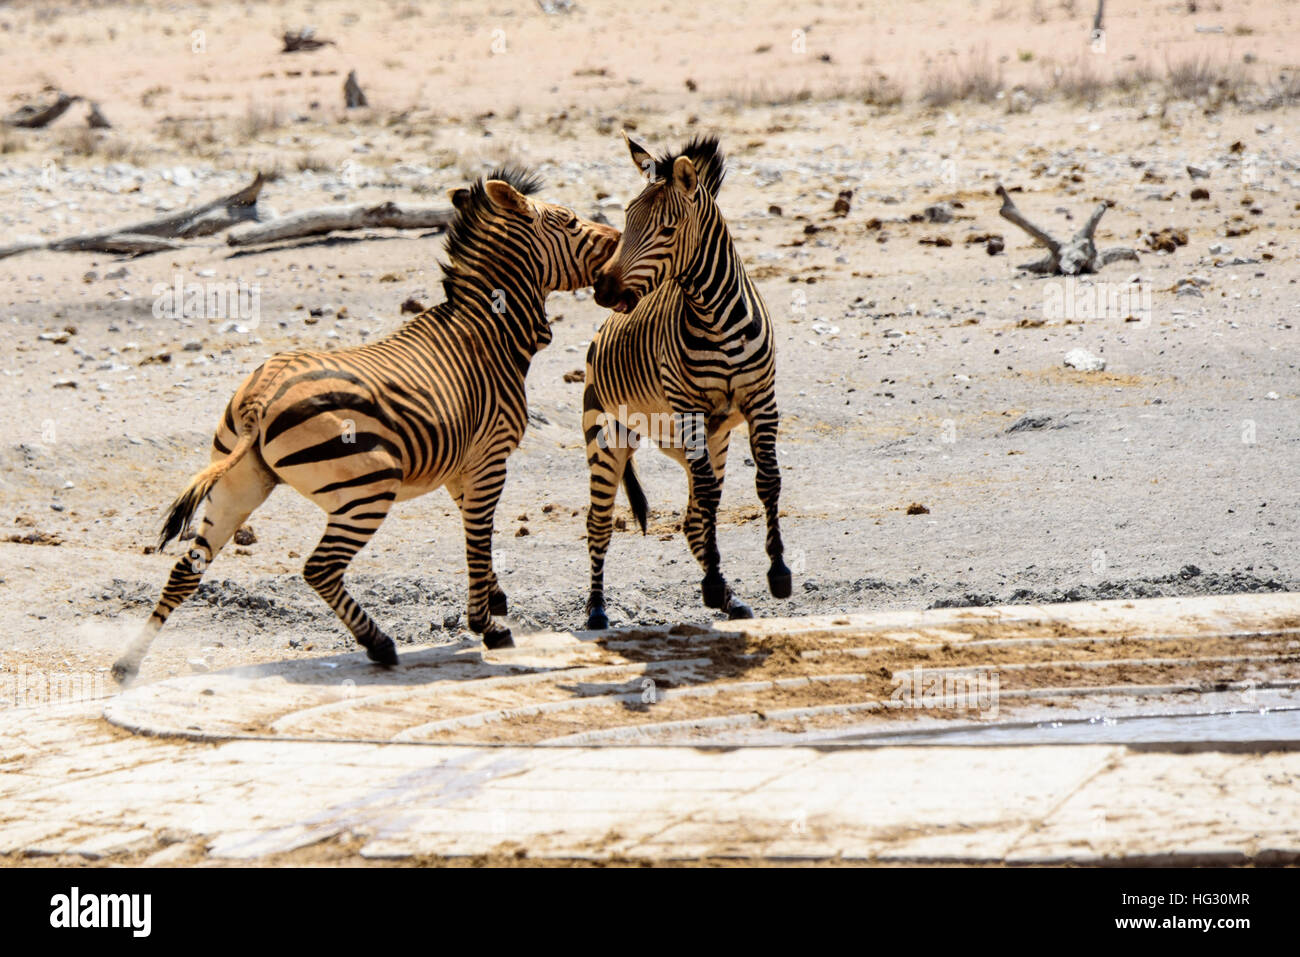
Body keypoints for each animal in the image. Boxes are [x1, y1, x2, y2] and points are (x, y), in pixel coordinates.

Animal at [112, 168, 619, 682]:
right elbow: (478, 538)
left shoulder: (463, 467)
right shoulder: (490, 457)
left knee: (186, 569)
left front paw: (494, 600)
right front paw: (488, 626)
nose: (620, 238)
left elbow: (475, 532)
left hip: (239, 483)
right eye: (571, 221)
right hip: (367, 489)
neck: (488, 332)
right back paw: (379, 644)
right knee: (319, 568)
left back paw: (126, 664)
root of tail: (263, 396)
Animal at [581, 133, 791, 630]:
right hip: (607, 435)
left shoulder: (762, 401)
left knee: (693, 518)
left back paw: (731, 601)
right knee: (599, 523)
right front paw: (713, 583)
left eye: (668, 229)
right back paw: (597, 611)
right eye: (626, 218)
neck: (717, 319)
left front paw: (776, 573)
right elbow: (713, 498)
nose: (603, 290)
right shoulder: (690, 407)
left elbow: (767, 482)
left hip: (704, 438)